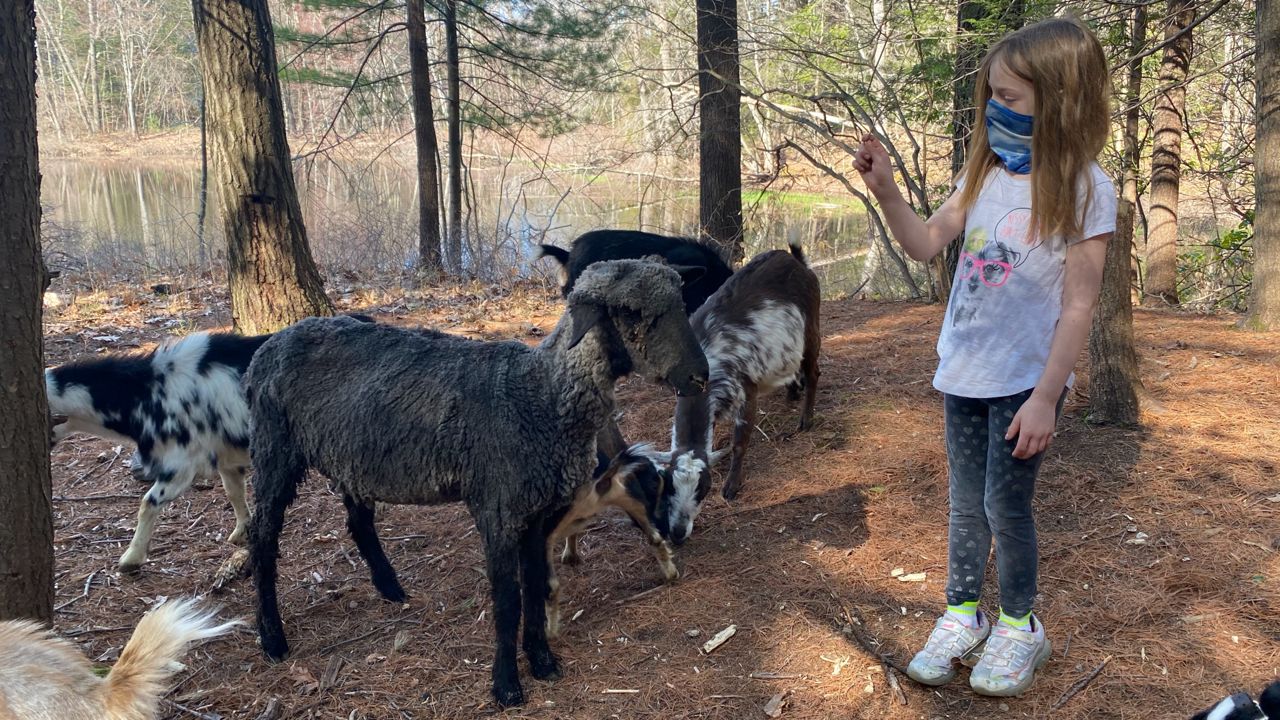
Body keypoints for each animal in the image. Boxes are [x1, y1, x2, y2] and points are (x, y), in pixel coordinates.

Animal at [244, 260, 708, 707]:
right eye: (631, 313)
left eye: (681, 301)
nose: (699, 377)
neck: (539, 395)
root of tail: (270, 344)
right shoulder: (498, 508)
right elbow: (507, 598)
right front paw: (506, 687)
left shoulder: (536, 514)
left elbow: (535, 587)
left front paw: (542, 661)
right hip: (274, 448)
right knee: (261, 536)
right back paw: (272, 638)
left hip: (351, 456)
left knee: (358, 521)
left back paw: (390, 588)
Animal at [662, 245, 821, 544]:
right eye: (668, 485)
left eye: (703, 487)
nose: (677, 532)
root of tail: (793, 257)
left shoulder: (746, 389)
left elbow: (739, 442)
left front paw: (732, 487)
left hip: (811, 326)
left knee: (814, 371)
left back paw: (806, 420)